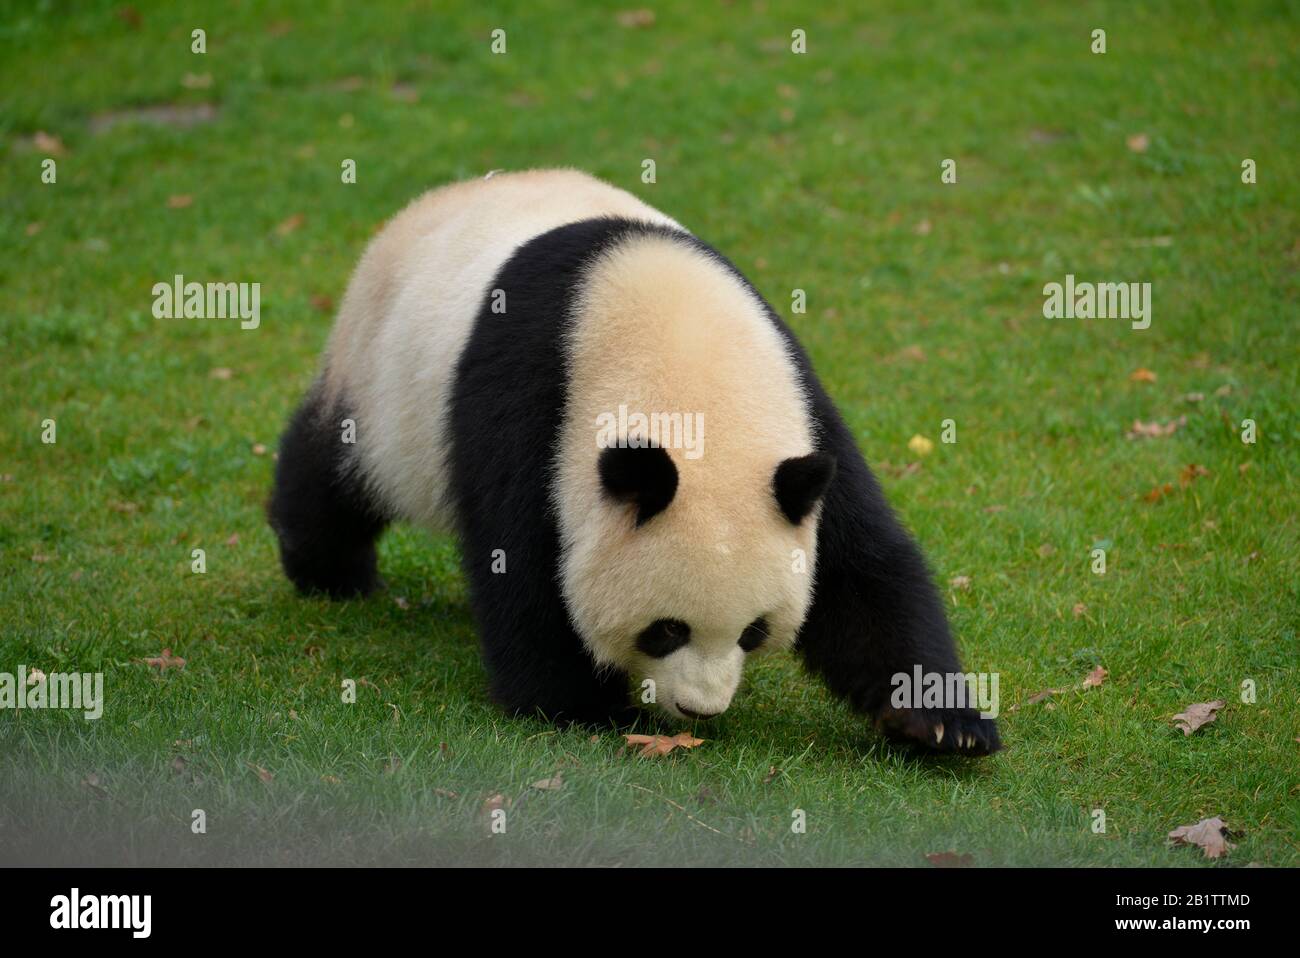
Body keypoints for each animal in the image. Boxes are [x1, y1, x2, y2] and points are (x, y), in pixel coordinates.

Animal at [269, 169, 1000, 755]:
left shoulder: (802, 408)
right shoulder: (531, 396)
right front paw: (584, 706)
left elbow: (862, 564)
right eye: (665, 631)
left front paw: (940, 724)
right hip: (379, 375)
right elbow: (521, 560)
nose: (700, 709)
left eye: (753, 632)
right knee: (336, 471)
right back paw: (331, 573)